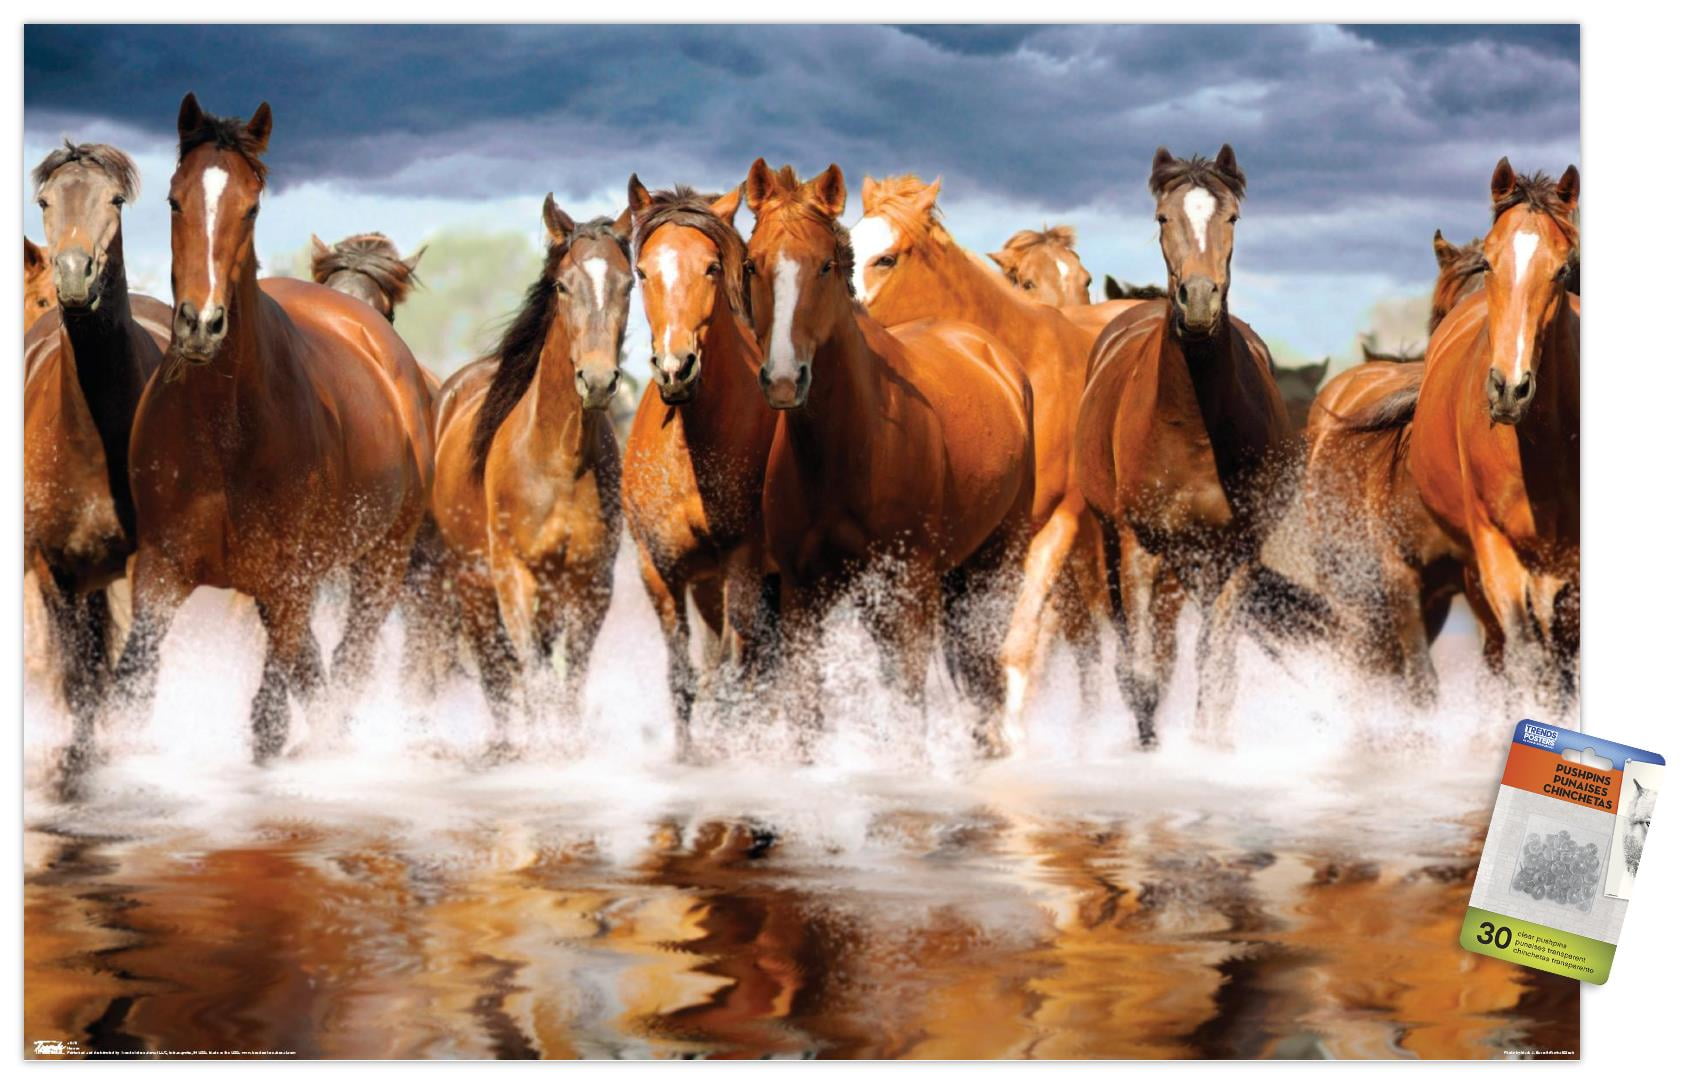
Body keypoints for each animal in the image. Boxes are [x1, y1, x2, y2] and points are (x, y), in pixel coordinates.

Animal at [107, 94, 435, 768]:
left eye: (252, 206)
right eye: (174, 199)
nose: (200, 325)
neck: (225, 431)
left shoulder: (288, 584)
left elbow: (283, 703)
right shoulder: (161, 572)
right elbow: (133, 687)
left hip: (380, 563)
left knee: (347, 662)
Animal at [432, 194, 630, 723]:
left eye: (629, 283)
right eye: (563, 285)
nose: (597, 381)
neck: (559, 460)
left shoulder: (590, 586)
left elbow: (568, 689)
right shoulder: (515, 578)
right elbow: (534, 684)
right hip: (473, 587)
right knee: (497, 679)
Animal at [620, 178, 779, 757]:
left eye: (712, 267)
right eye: (643, 271)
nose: (676, 368)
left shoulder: (744, 565)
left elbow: (735, 674)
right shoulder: (659, 570)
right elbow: (684, 677)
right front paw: (688, 757)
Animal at [745, 161, 1034, 756]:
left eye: (826, 265)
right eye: (751, 264)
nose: (784, 379)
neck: (851, 447)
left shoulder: (909, 596)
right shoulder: (803, 596)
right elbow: (806, 713)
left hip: (995, 564)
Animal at [1070, 145, 1319, 744]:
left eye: (1233, 218)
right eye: (1163, 217)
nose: (1200, 301)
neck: (1193, 427)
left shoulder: (1236, 553)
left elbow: (1218, 664)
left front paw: (1209, 744)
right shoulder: (1139, 546)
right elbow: (1143, 667)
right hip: (1119, 544)